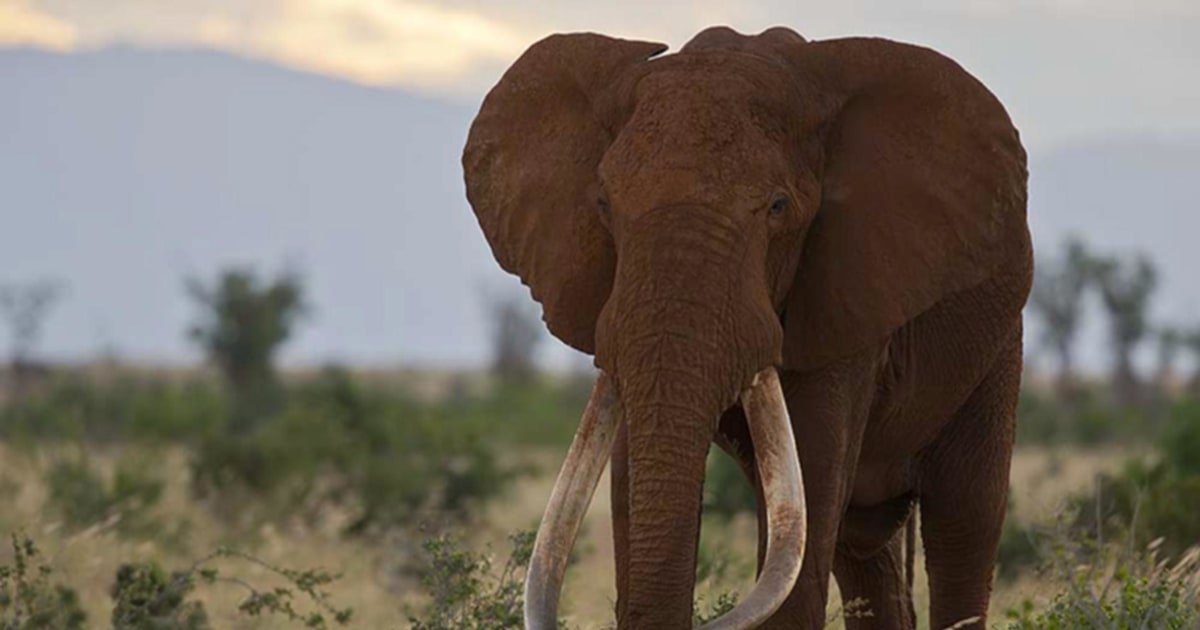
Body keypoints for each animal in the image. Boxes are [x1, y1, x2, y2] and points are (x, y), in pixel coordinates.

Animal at [462, 25, 1032, 630]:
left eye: (779, 207)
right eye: (602, 203)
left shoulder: (846, 293)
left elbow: (814, 479)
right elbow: (631, 467)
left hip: (999, 340)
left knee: (964, 523)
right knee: (862, 545)